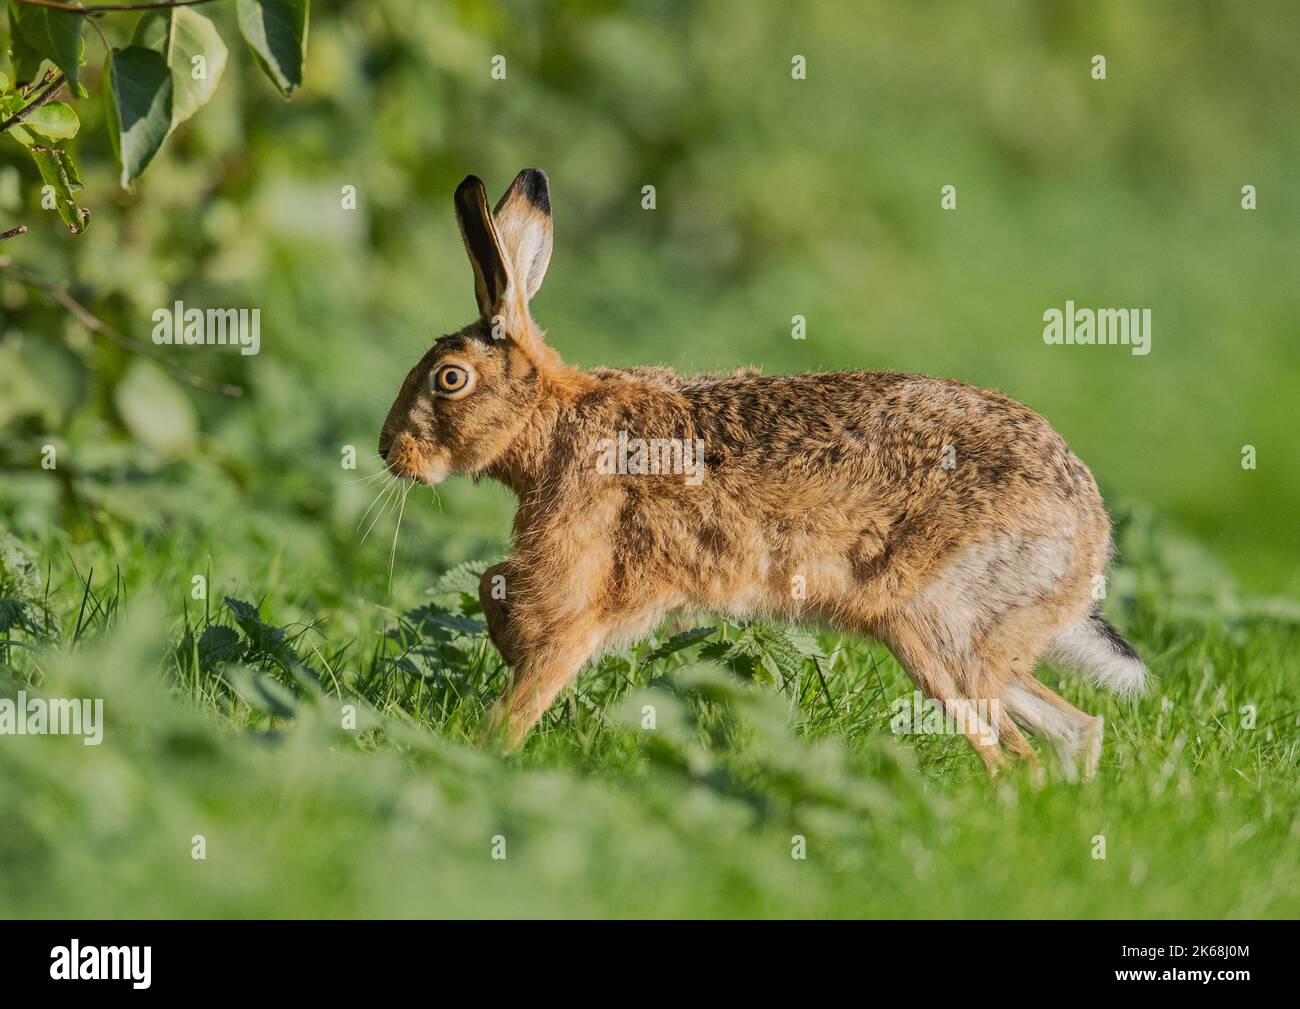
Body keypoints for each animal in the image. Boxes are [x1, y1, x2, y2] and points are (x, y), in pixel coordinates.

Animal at [379, 168, 1148, 775]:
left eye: (449, 379)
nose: (390, 450)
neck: (552, 420)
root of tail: (1090, 538)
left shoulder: (577, 592)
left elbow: (529, 662)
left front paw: (488, 746)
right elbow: (492, 584)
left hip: (936, 630)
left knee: (1013, 756)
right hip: (979, 647)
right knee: (1076, 729)